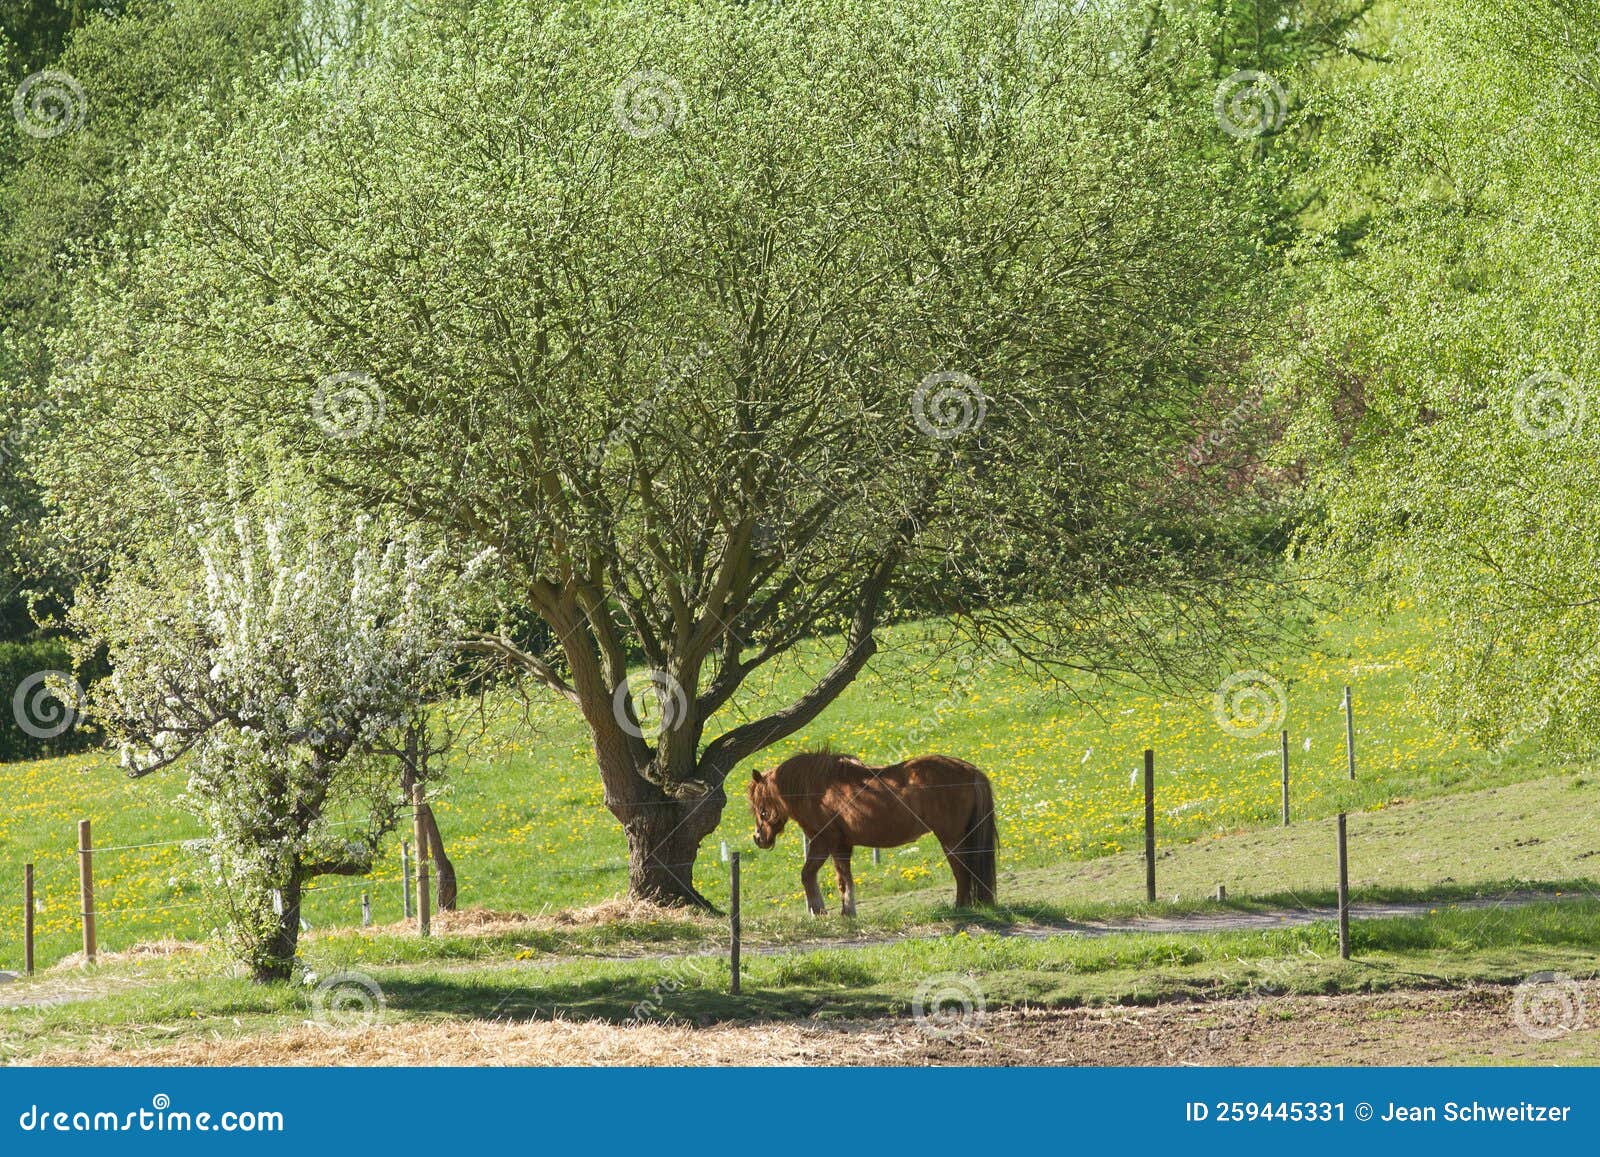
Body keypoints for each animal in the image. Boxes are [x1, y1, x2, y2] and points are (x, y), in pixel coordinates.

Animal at [747, 750, 997, 916]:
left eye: (760, 805)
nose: (759, 839)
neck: (818, 790)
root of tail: (972, 771)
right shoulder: (842, 846)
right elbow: (844, 880)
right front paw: (848, 912)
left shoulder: (823, 842)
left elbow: (808, 874)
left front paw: (818, 911)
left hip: (951, 840)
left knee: (962, 872)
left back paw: (960, 908)